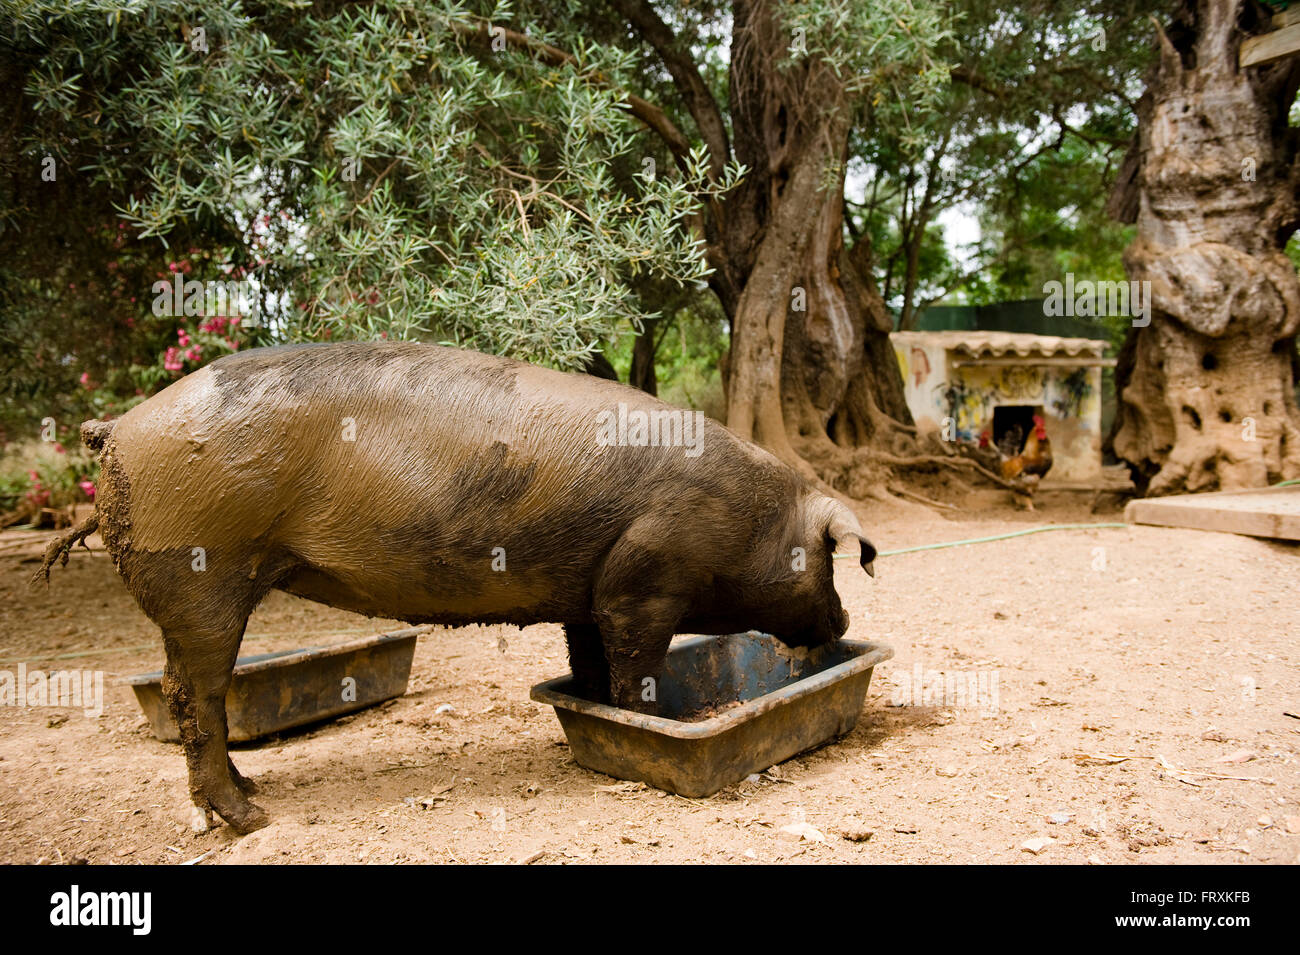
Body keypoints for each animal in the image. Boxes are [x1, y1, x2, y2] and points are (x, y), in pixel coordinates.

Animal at [36, 342, 876, 833]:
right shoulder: (645, 579)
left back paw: (241, 796)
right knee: (193, 695)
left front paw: (592, 711)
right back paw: (250, 817)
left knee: (192, 696)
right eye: (829, 561)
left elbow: (588, 661)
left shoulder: (591, 590)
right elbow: (635, 665)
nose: (840, 623)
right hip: (201, 575)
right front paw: (654, 720)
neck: (749, 519)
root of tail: (118, 428)